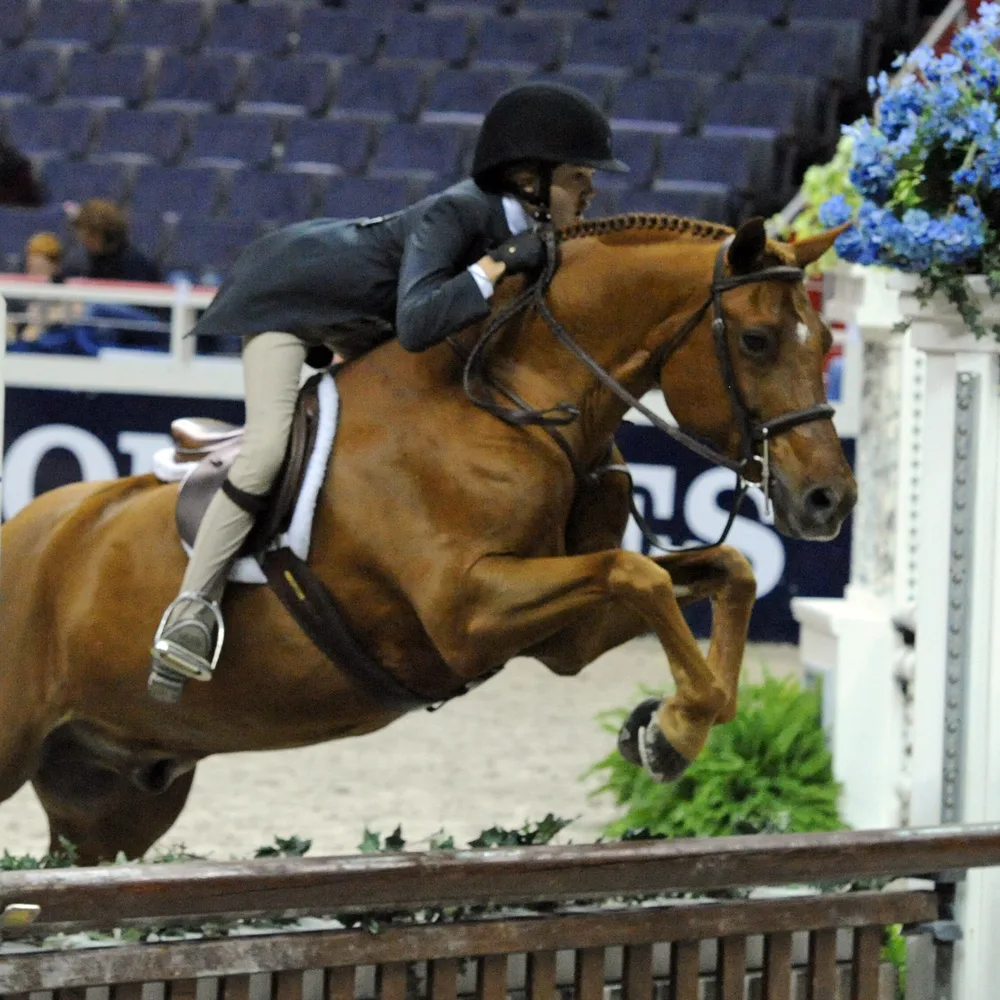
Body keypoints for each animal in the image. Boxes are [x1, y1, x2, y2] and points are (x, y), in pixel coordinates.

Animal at [0, 215, 856, 865]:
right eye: (756, 340)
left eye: (823, 341)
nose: (829, 499)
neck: (512, 405)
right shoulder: (468, 611)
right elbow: (636, 574)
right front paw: (672, 732)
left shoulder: (562, 634)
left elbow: (726, 568)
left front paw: (664, 728)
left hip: (113, 793)